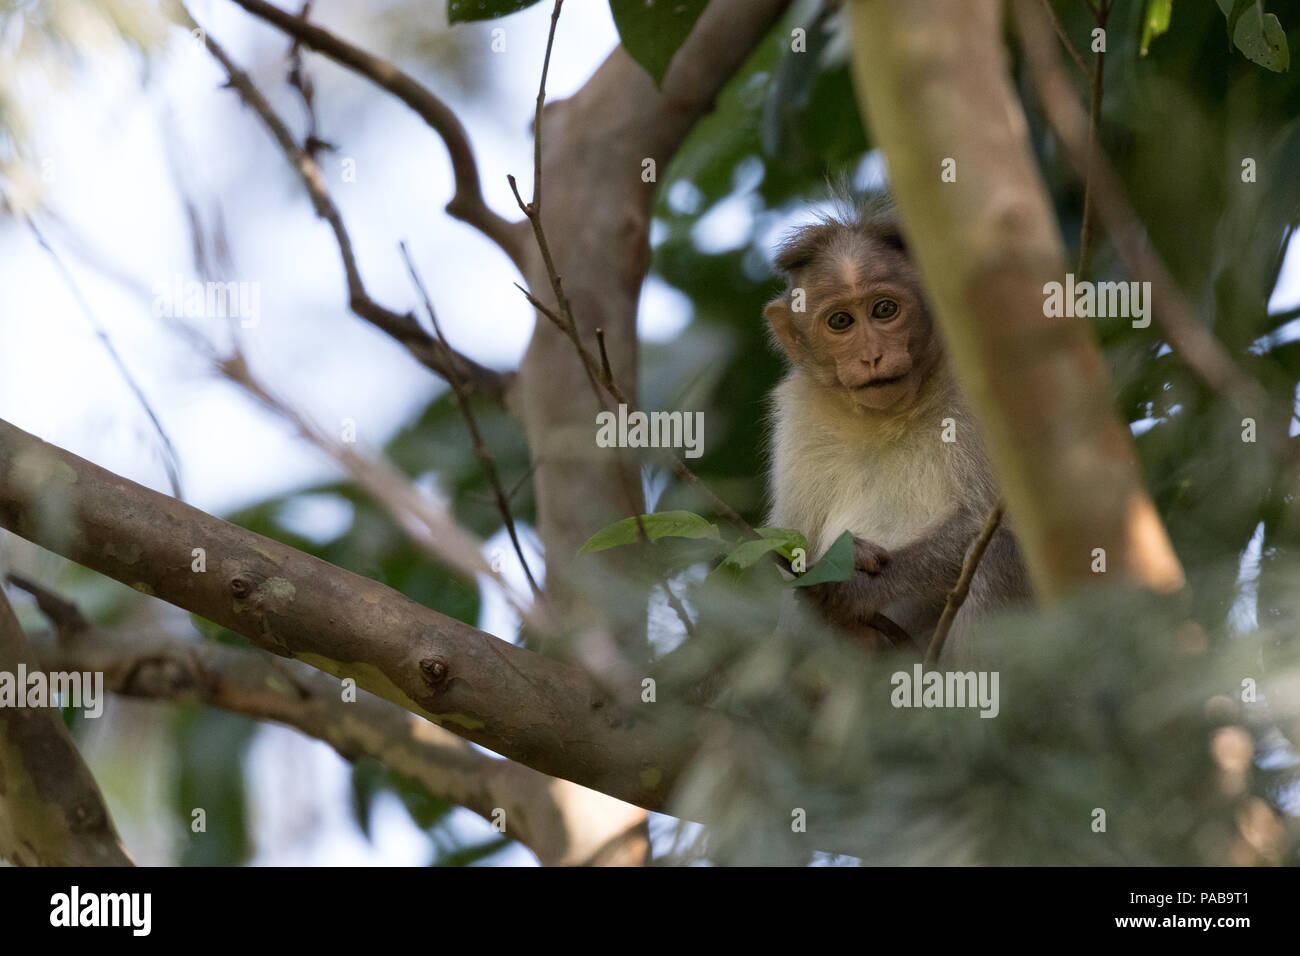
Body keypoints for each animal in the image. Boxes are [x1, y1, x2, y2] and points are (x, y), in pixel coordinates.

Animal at [763, 194, 1030, 664]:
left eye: (884, 310)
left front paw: (851, 586)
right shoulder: (799, 415)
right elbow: (789, 555)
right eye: (841, 322)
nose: (871, 356)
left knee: (1001, 550)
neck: (886, 418)